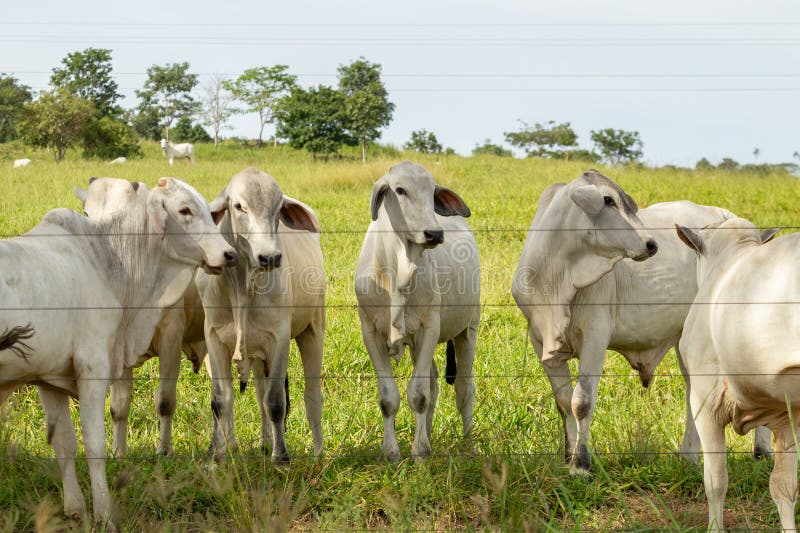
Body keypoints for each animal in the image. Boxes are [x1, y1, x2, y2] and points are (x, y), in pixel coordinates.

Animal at [74, 178, 208, 456]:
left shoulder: (171, 337)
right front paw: (118, 452)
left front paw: (164, 451)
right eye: (86, 214)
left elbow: (165, 400)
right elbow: (119, 407)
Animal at [197, 166, 325, 463]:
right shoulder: (214, 339)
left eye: (278, 209)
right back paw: (260, 443)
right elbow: (221, 401)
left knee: (311, 396)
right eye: (238, 206)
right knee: (258, 391)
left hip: (313, 329)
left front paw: (281, 457)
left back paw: (318, 453)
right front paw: (217, 456)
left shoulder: (279, 339)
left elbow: (276, 402)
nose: (270, 257)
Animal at [355, 161, 480, 461]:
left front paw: (420, 452)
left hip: (468, 329)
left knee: (464, 388)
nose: (434, 234)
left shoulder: (429, 328)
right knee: (434, 382)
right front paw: (391, 453)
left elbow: (419, 395)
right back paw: (429, 434)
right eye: (400, 190)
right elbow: (389, 397)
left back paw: (468, 443)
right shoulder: (370, 332)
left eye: (432, 192)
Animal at [510, 170, 766, 474]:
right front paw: (569, 457)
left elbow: (581, 402)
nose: (651, 244)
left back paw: (761, 452)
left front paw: (582, 464)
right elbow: (563, 402)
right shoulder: (540, 341)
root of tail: (726, 215)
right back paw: (689, 457)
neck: (557, 274)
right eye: (608, 200)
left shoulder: (595, 337)